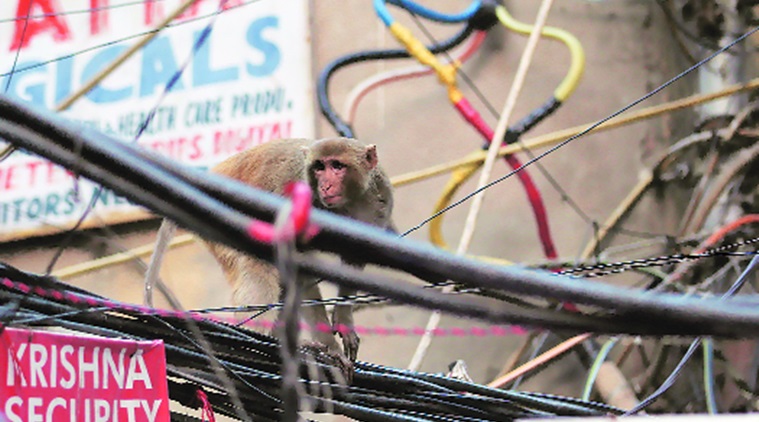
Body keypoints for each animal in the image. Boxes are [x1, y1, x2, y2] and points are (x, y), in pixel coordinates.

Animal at [146, 137, 393, 368]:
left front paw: (344, 320)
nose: (325, 186)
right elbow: (299, 271)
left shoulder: (379, 203)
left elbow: (354, 260)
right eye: (319, 167)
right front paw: (331, 347)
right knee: (259, 269)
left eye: (337, 166)